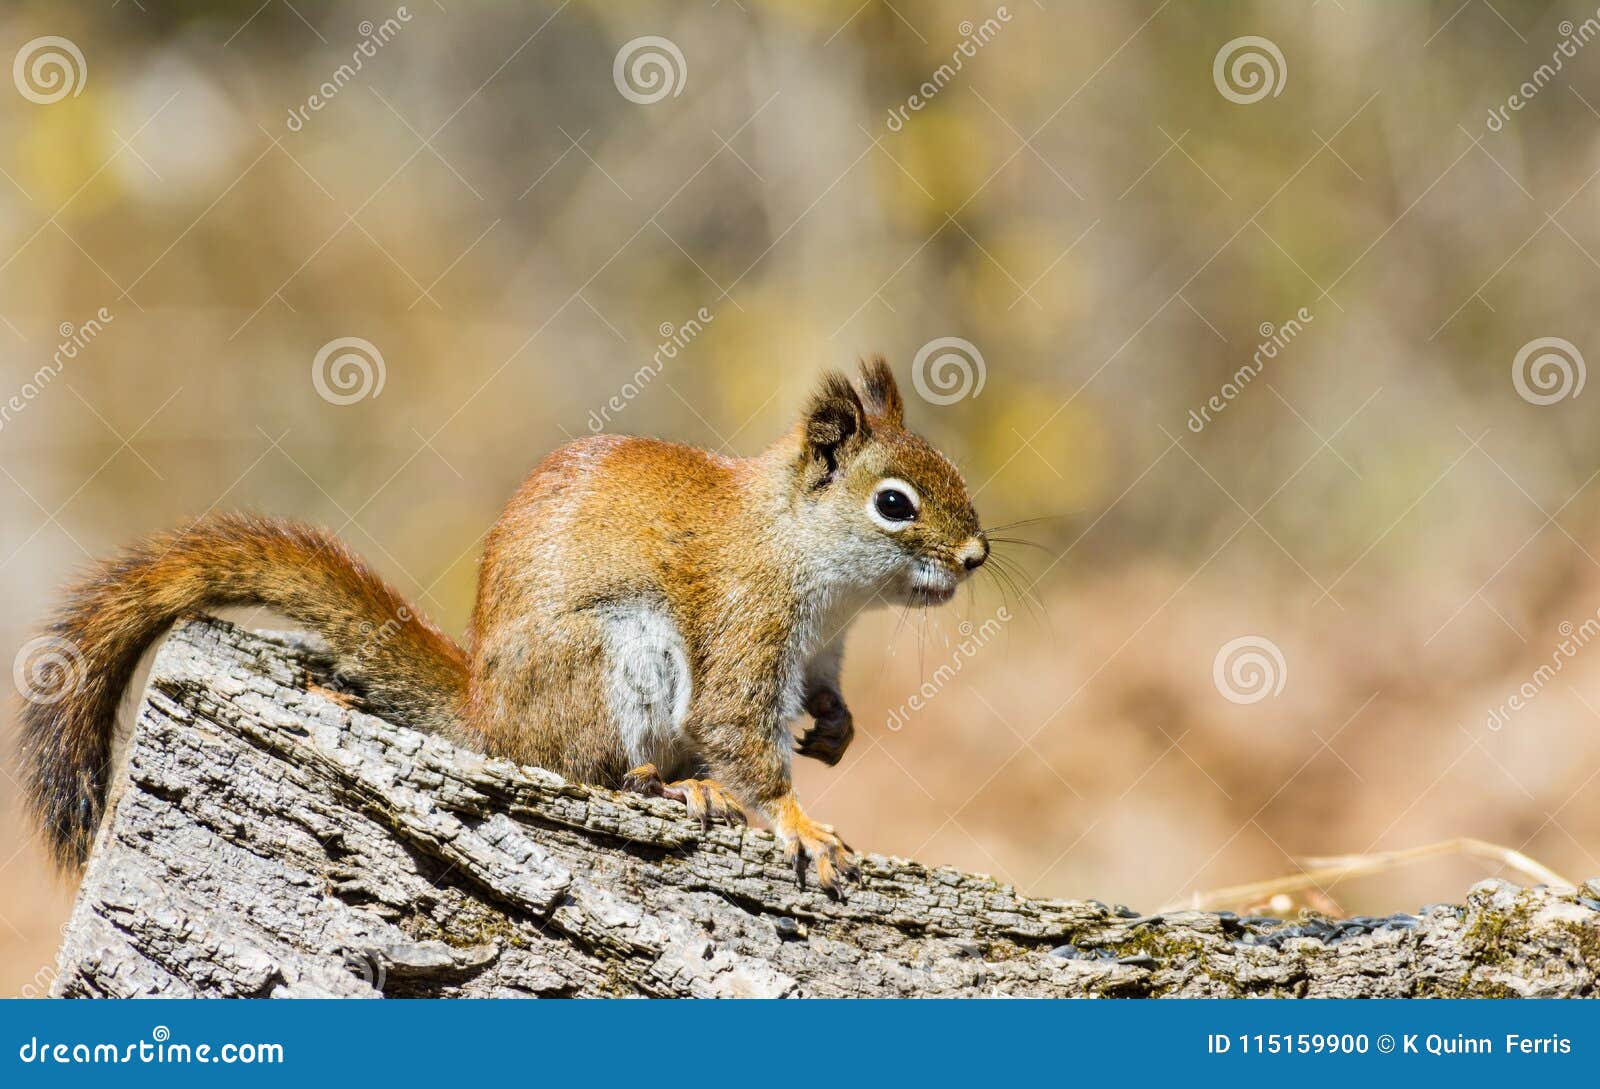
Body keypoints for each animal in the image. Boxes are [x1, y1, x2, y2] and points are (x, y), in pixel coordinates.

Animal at [19, 357, 988, 894]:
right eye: (894, 504)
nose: (978, 554)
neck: (805, 555)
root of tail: (487, 710)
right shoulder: (748, 620)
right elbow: (737, 728)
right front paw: (799, 821)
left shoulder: (822, 647)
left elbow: (822, 697)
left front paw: (834, 730)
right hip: (613, 656)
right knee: (578, 766)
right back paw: (670, 786)